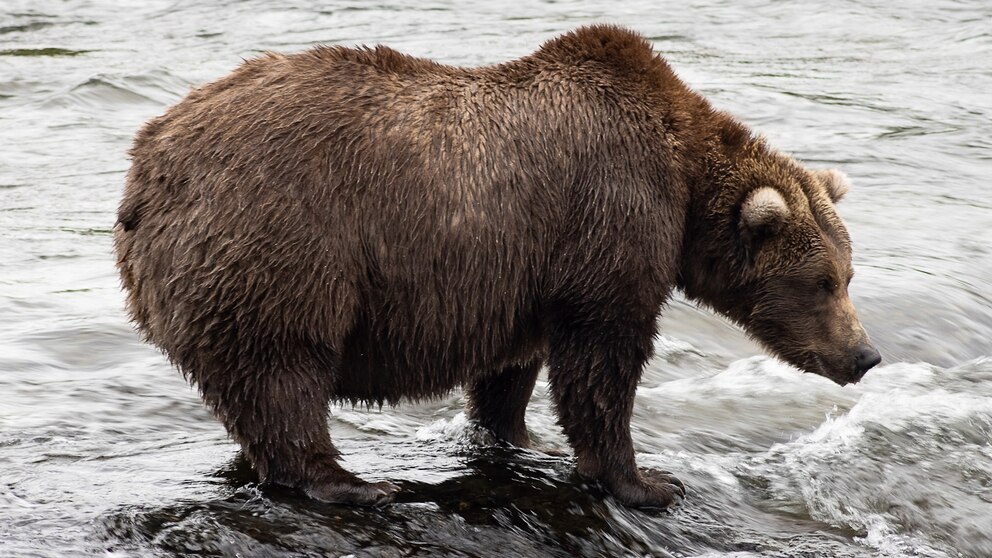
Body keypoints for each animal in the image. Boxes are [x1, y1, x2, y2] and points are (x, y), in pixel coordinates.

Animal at [114, 25, 880, 509]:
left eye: (848, 276)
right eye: (821, 283)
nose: (865, 354)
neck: (685, 180)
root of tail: (145, 170)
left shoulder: (525, 271)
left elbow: (513, 366)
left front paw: (520, 437)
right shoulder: (613, 215)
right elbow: (603, 358)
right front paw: (647, 481)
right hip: (281, 241)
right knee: (284, 369)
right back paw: (353, 483)